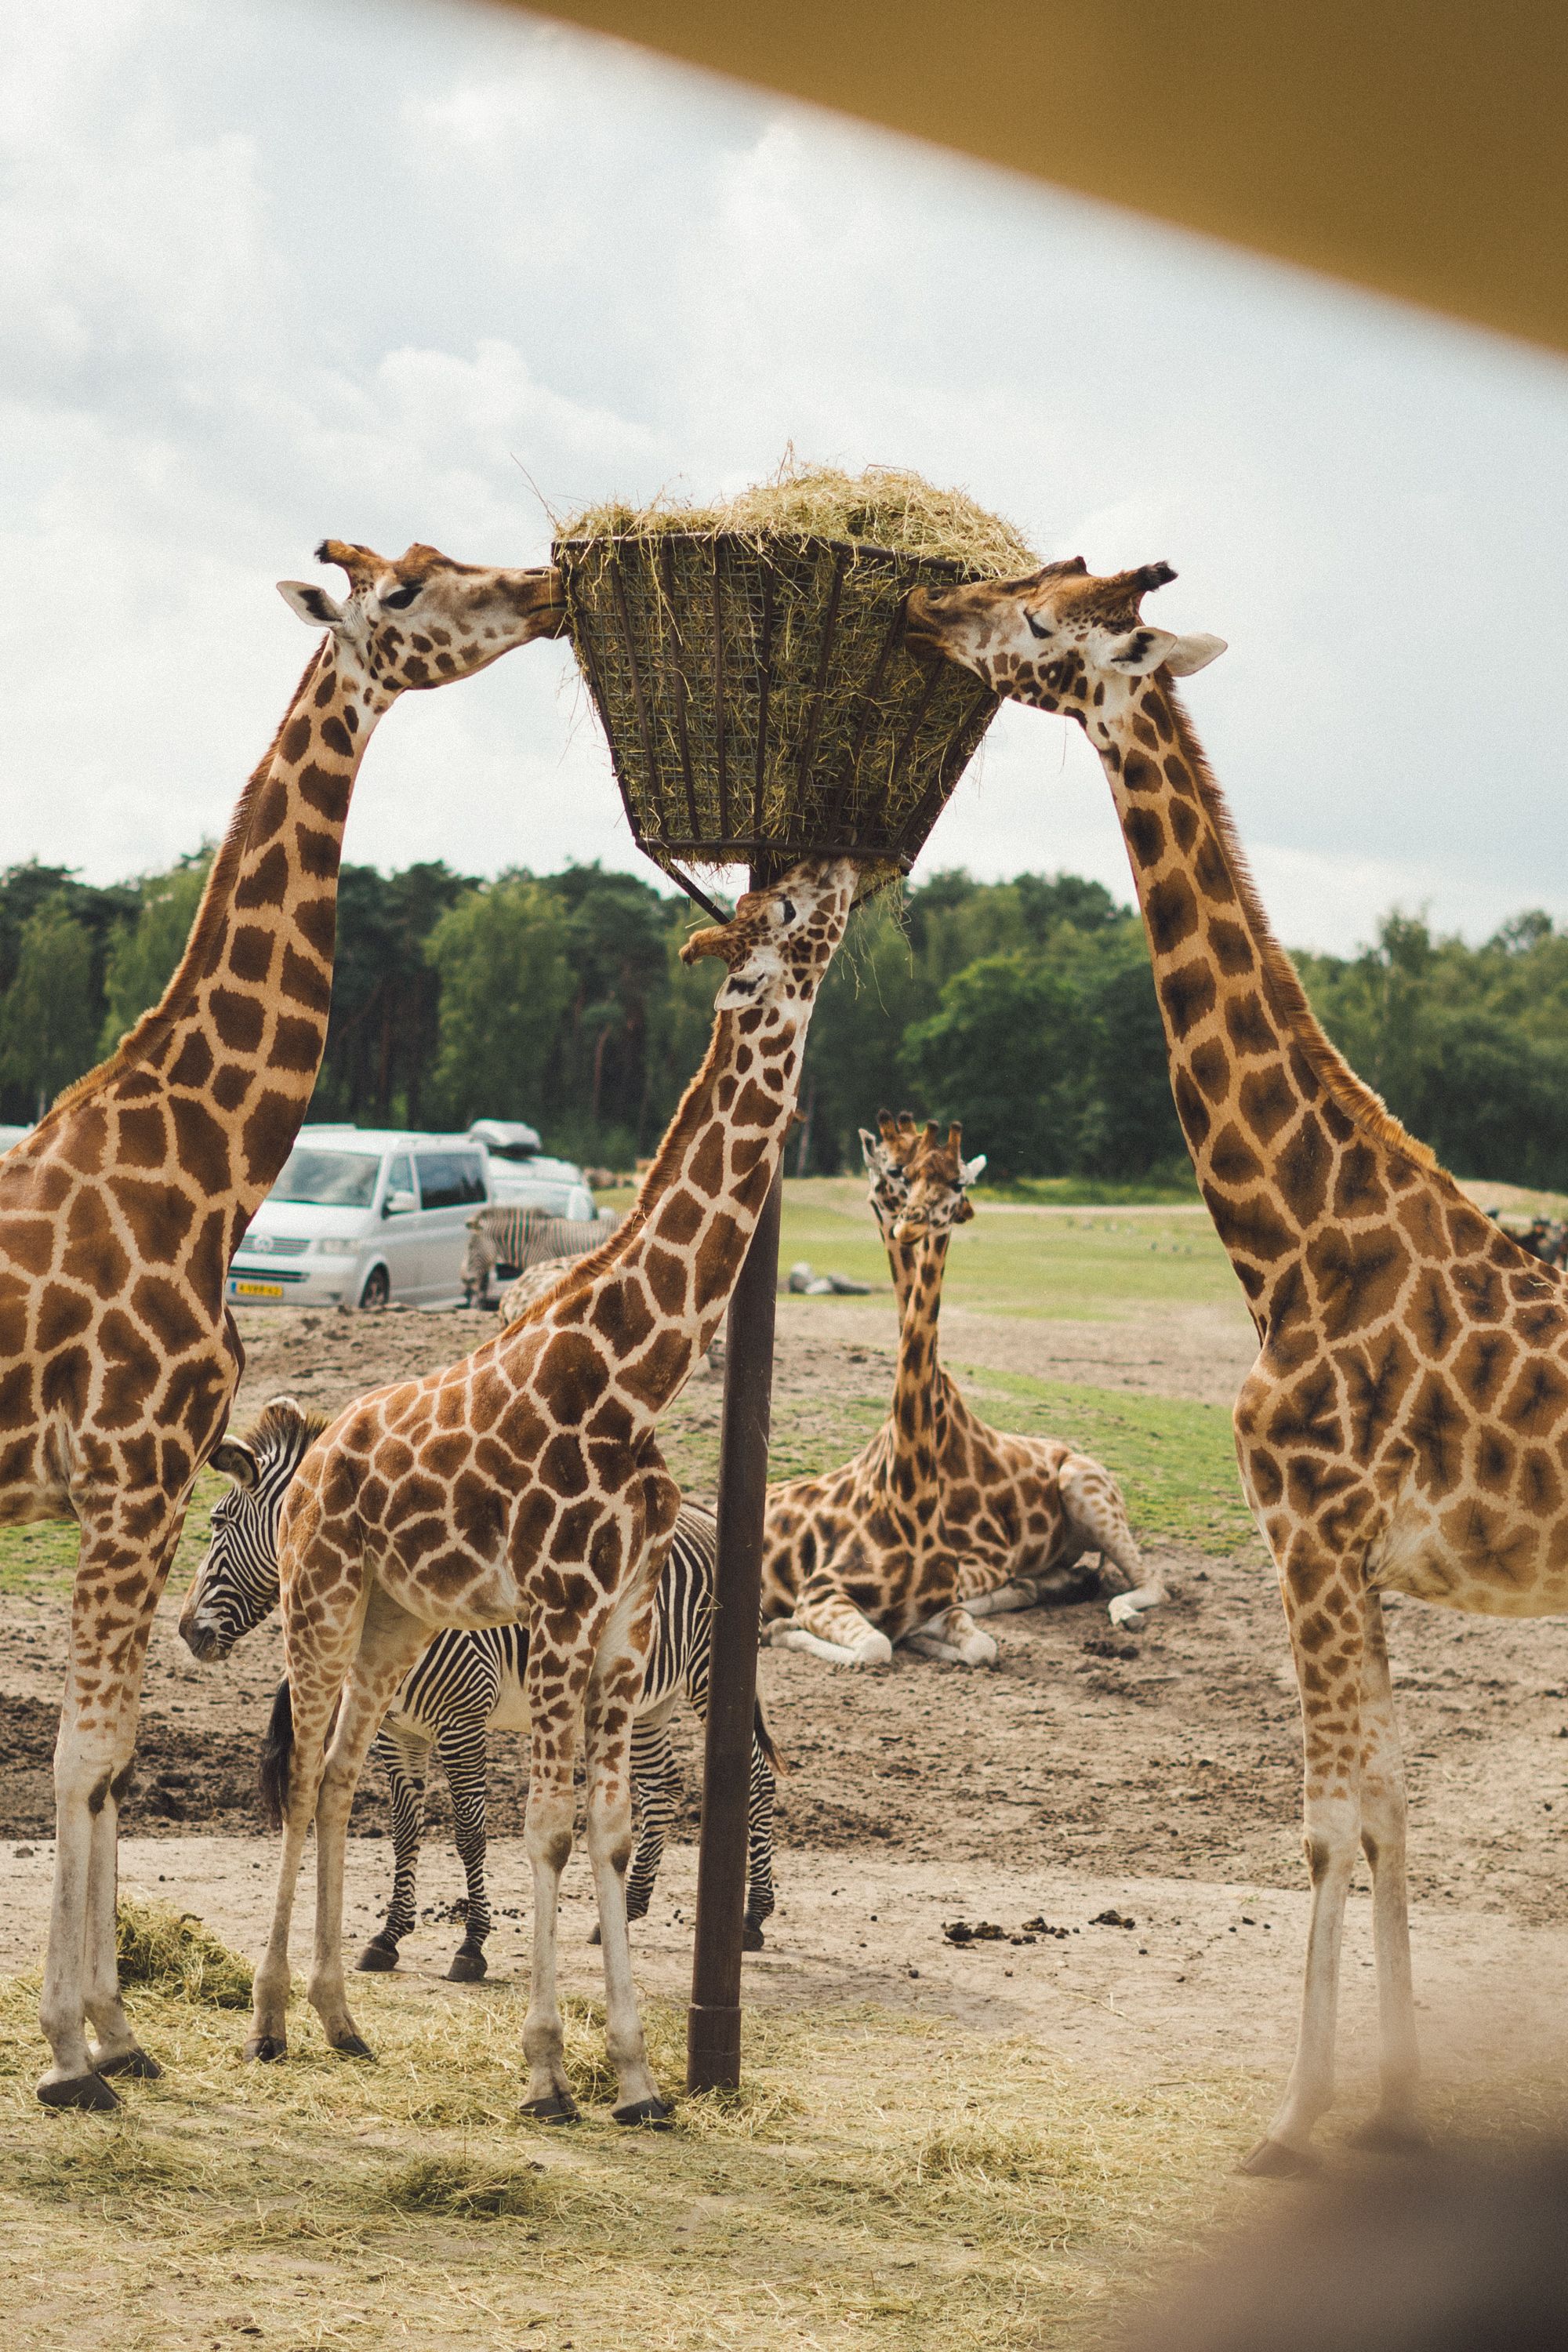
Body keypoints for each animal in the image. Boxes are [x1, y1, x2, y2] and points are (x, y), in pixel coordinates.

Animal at [0, 538, 564, 2111]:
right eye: (410, 593)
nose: (547, 585)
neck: (207, 1167)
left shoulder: (121, 1495)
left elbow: (113, 1756)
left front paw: (118, 2032)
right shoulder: (132, 1476)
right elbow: (85, 1756)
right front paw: (71, 2052)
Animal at [244, 858, 856, 2125]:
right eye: (780, 911)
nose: (847, 871)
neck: (637, 1366)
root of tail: (311, 1459)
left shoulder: (621, 1624)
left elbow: (612, 1832)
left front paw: (635, 2076)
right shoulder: (564, 1610)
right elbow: (547, 1830)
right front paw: (544, 2072)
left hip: (393, 1620)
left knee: (340, 1776)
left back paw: (340, 2017)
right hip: (320, 1599)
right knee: (302, 1778)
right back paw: (271, 2021)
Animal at [761, 1121, 998, 1668]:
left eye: (959, 1183)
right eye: (900, 1174)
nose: (908, 1225)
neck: (911, 1498)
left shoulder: (945, 1602)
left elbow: (981, 1646)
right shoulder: (820, 1592)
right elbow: (874, 1646)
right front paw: (780, 1628)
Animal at [861, 1111, 1161, 1629]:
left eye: (958, 1181)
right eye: (899, 1172)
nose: (906, 1224)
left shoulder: (987, 1556)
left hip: (1085, 1490)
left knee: (1148, 1581)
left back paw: (1123, 1613)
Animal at [905, 555, 1568, 2172]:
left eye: (1043, 617)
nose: (930, 606)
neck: (1293, 1242)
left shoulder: (1309, 1533)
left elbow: (1326, 1819)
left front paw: (1294, 2116)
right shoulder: (1359, 1560)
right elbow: (1389, 1805)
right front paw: (1394, 2102)